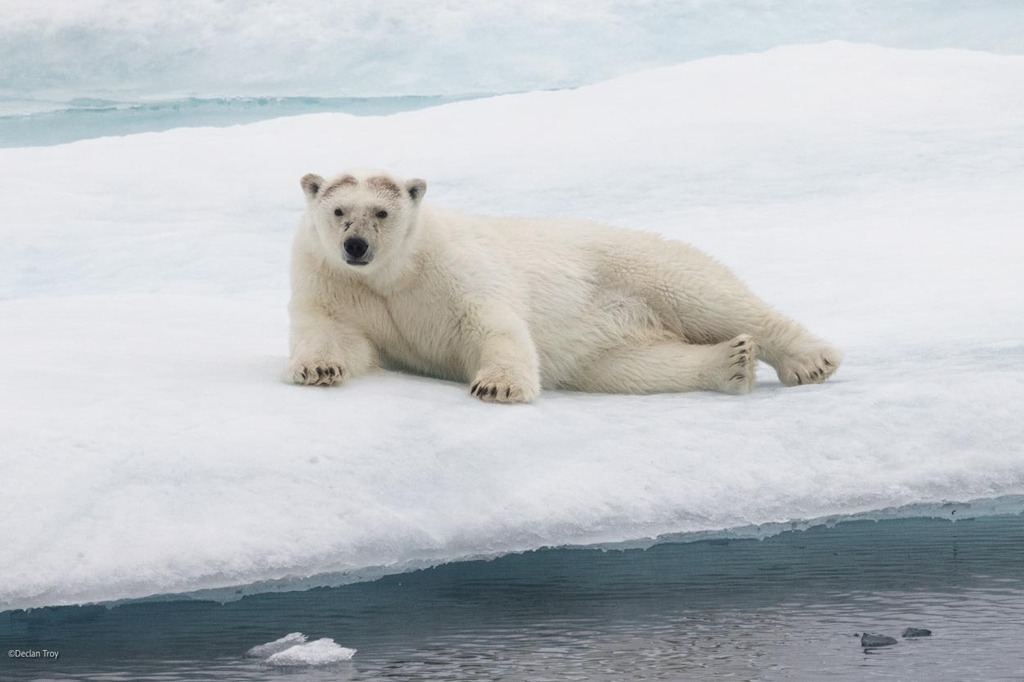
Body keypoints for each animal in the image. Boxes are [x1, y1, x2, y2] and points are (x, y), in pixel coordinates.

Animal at [287, 169, 841, 403]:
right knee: (634, 368)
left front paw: (499, 386)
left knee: (713, 299)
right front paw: (317, 369)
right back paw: (729, 363)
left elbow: (489, 321)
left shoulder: (451, 266)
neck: (394, 272)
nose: (356, 245)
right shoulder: (333, 279)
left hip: (634, 266)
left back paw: (810, 360)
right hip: (602, 345)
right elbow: (334, 332)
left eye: (381, 212)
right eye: (339, 211)